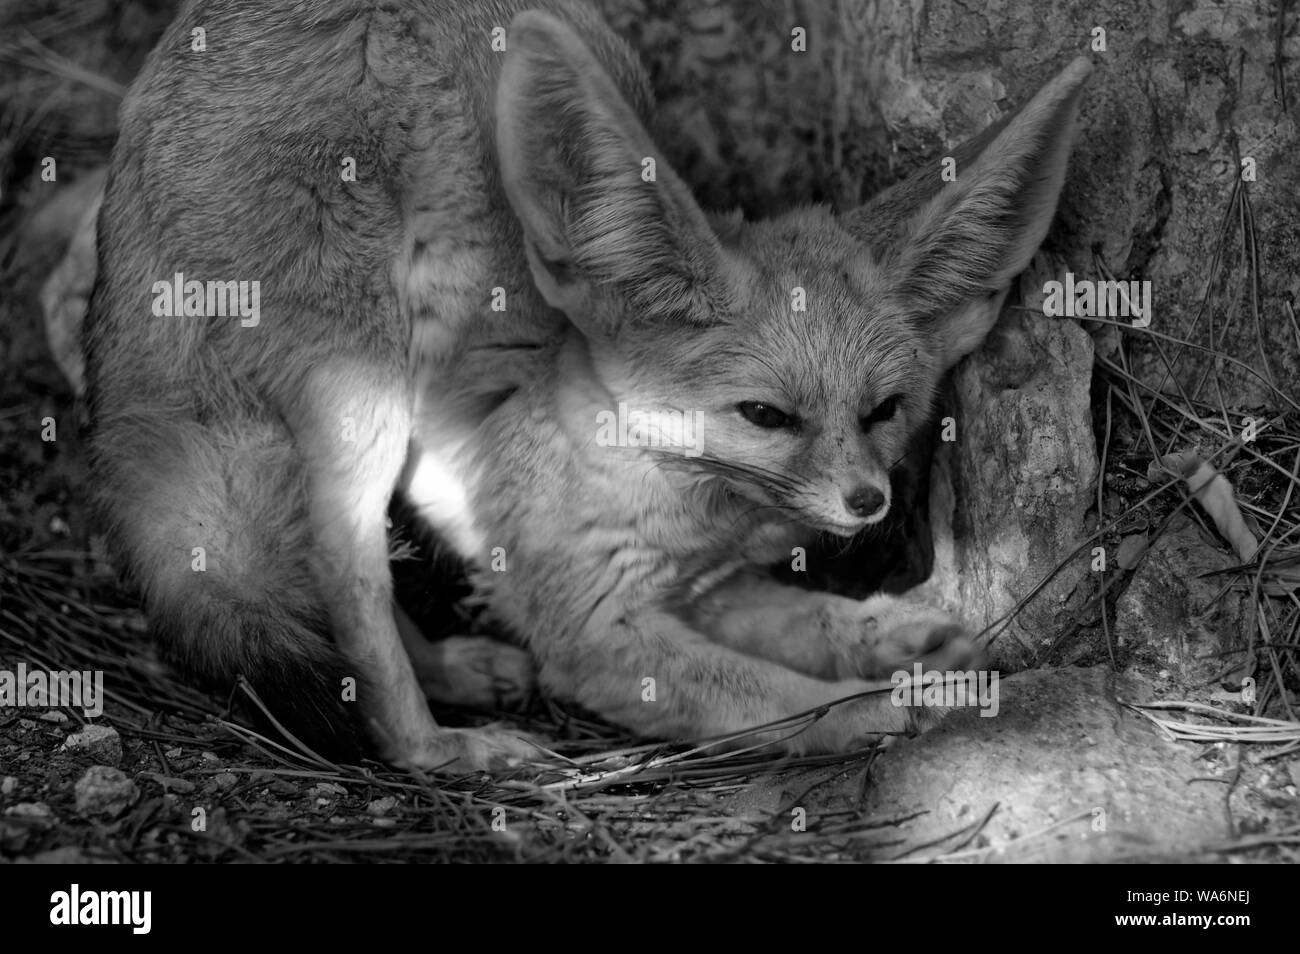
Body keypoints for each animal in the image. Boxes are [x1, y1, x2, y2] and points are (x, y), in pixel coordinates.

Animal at [83, 0, 1090, 770]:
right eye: (765, 415)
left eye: (883, 411)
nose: (867, 502)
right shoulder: (595, 634)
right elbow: (774, 694)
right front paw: (885, 708)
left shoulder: (699, 589)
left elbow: (811, 621)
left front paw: (899, 637)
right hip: (366, 398)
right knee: (343, 572)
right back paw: (431, 745)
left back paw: (451, 671)